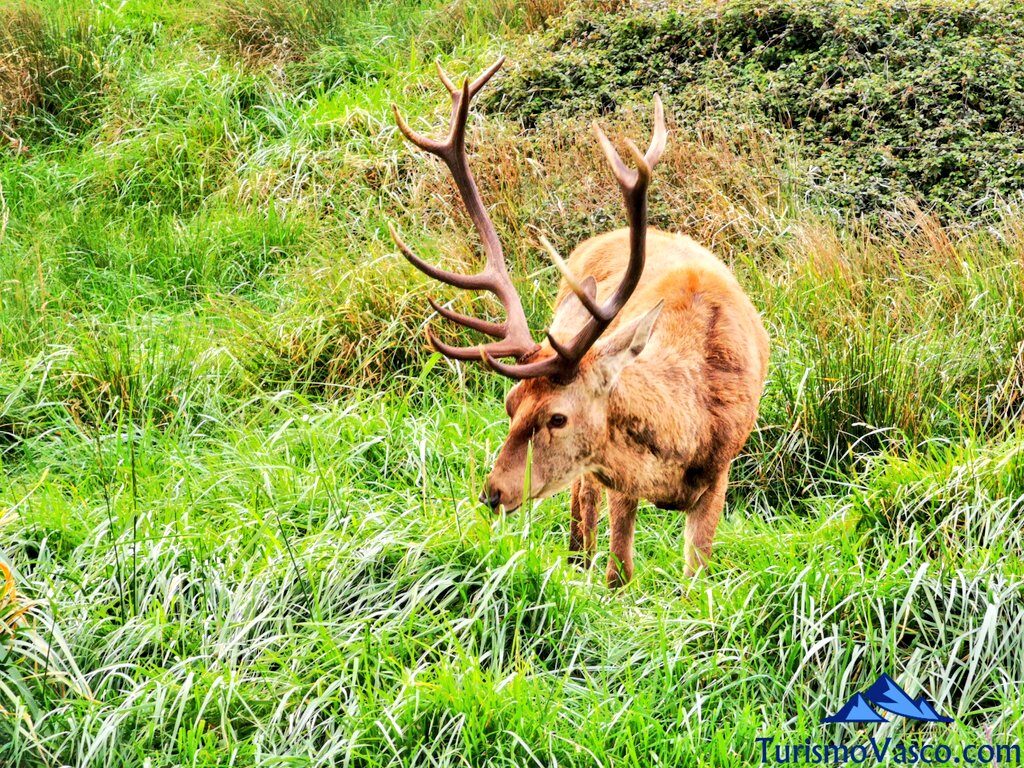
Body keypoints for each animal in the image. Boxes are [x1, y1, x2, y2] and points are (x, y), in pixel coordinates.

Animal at [390, 57, 769, 587]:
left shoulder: (720, 474)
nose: (492, 493)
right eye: (509, 404)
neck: (690, 427)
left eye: (558, 417)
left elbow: (693, 581)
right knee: (580, 524)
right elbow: (618, 574)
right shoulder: (618, 478)